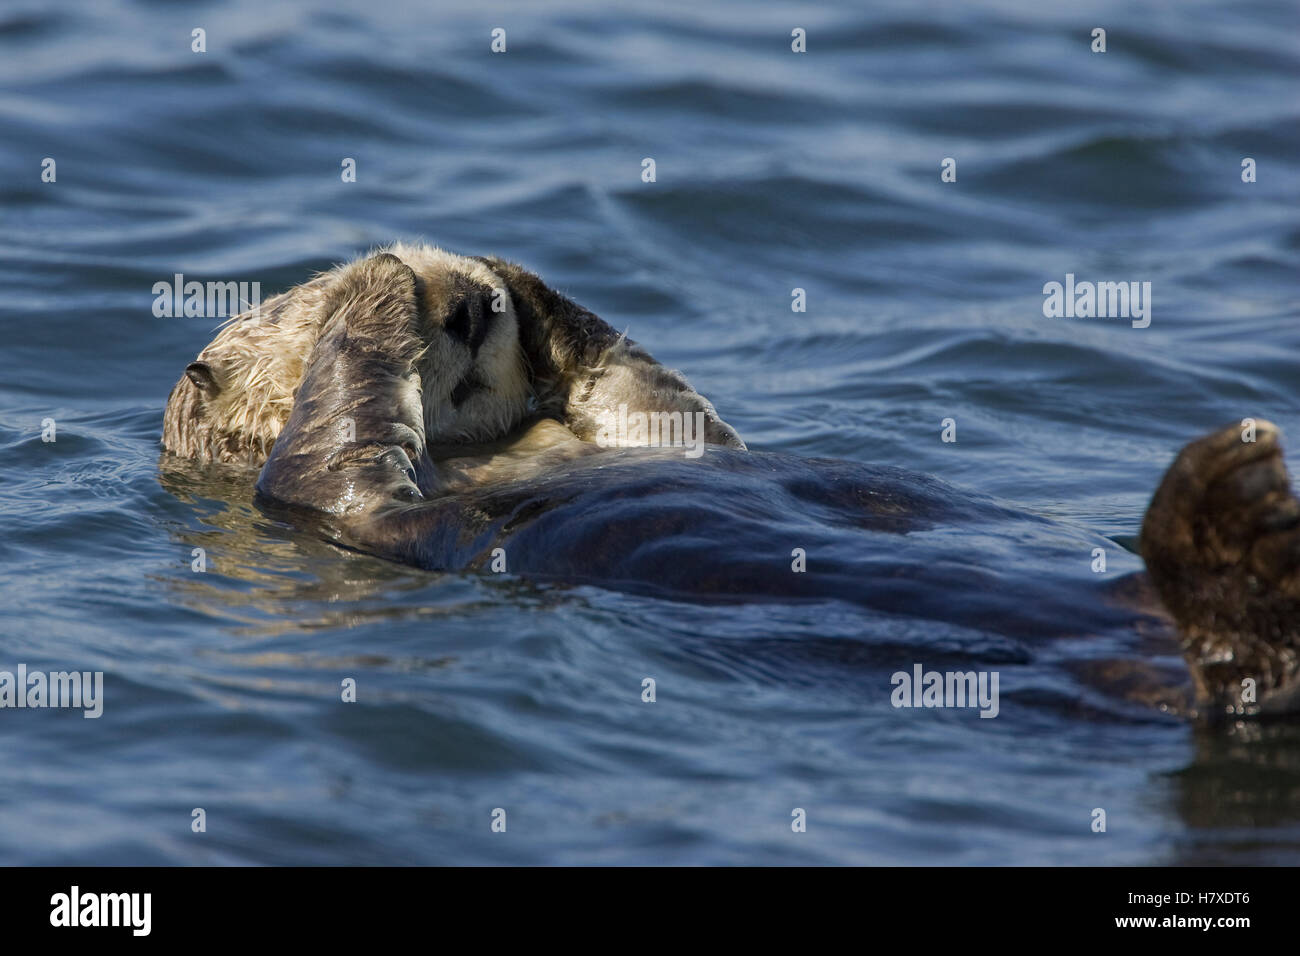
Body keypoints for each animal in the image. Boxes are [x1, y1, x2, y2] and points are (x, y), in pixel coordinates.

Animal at [162, 245, 1300, 720]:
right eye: (303, 309)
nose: (466, 310)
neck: (490, 450)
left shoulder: (672, 432)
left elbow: (651, 394)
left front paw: (483, 270)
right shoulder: (332, 505)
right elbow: (337, 436)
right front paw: (376, 279)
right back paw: (1234, 499)